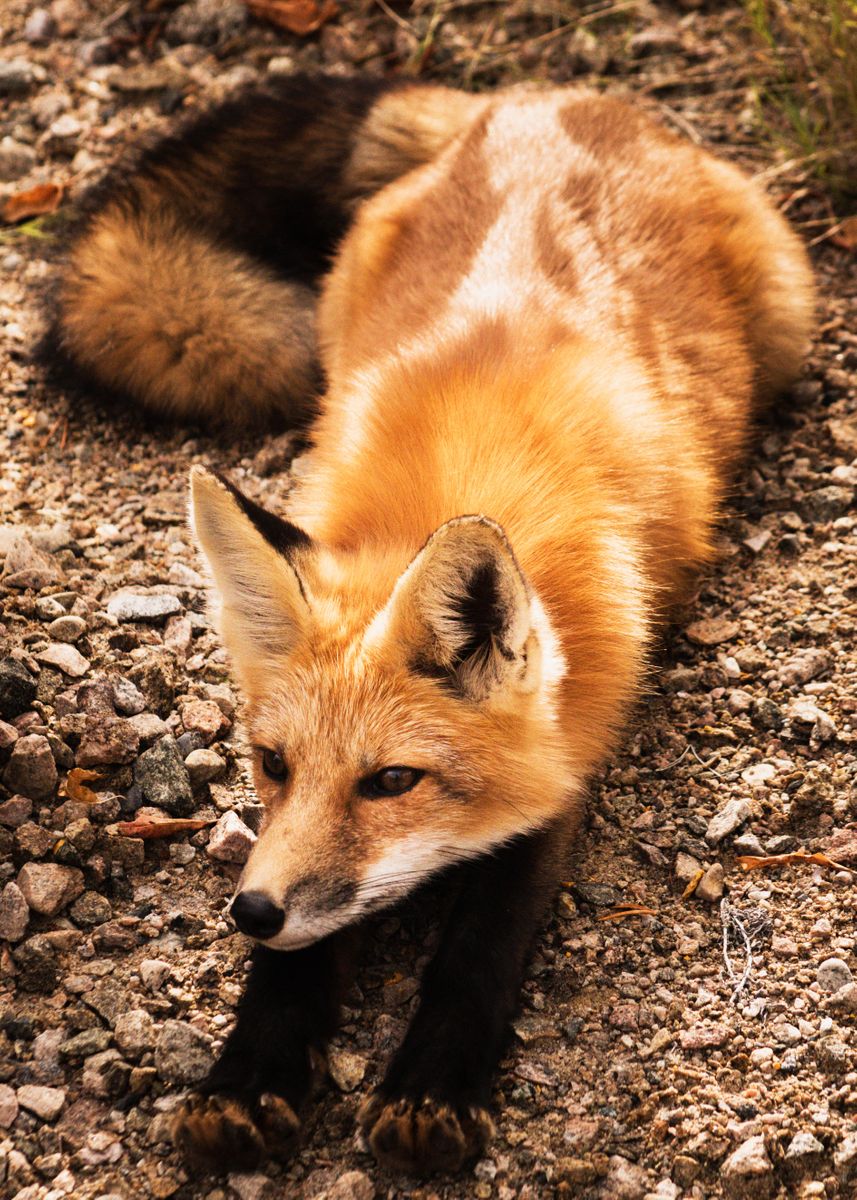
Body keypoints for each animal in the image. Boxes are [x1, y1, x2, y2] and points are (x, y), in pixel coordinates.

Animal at [44, 73, 814, 1177]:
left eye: (392, 783)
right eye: (271, 765)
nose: (248, 910)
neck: (456, 479)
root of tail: (539, 99)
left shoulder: (565, 756)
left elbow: (477, 946)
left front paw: (431, 1090)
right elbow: (303, 949)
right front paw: (248, 1072)